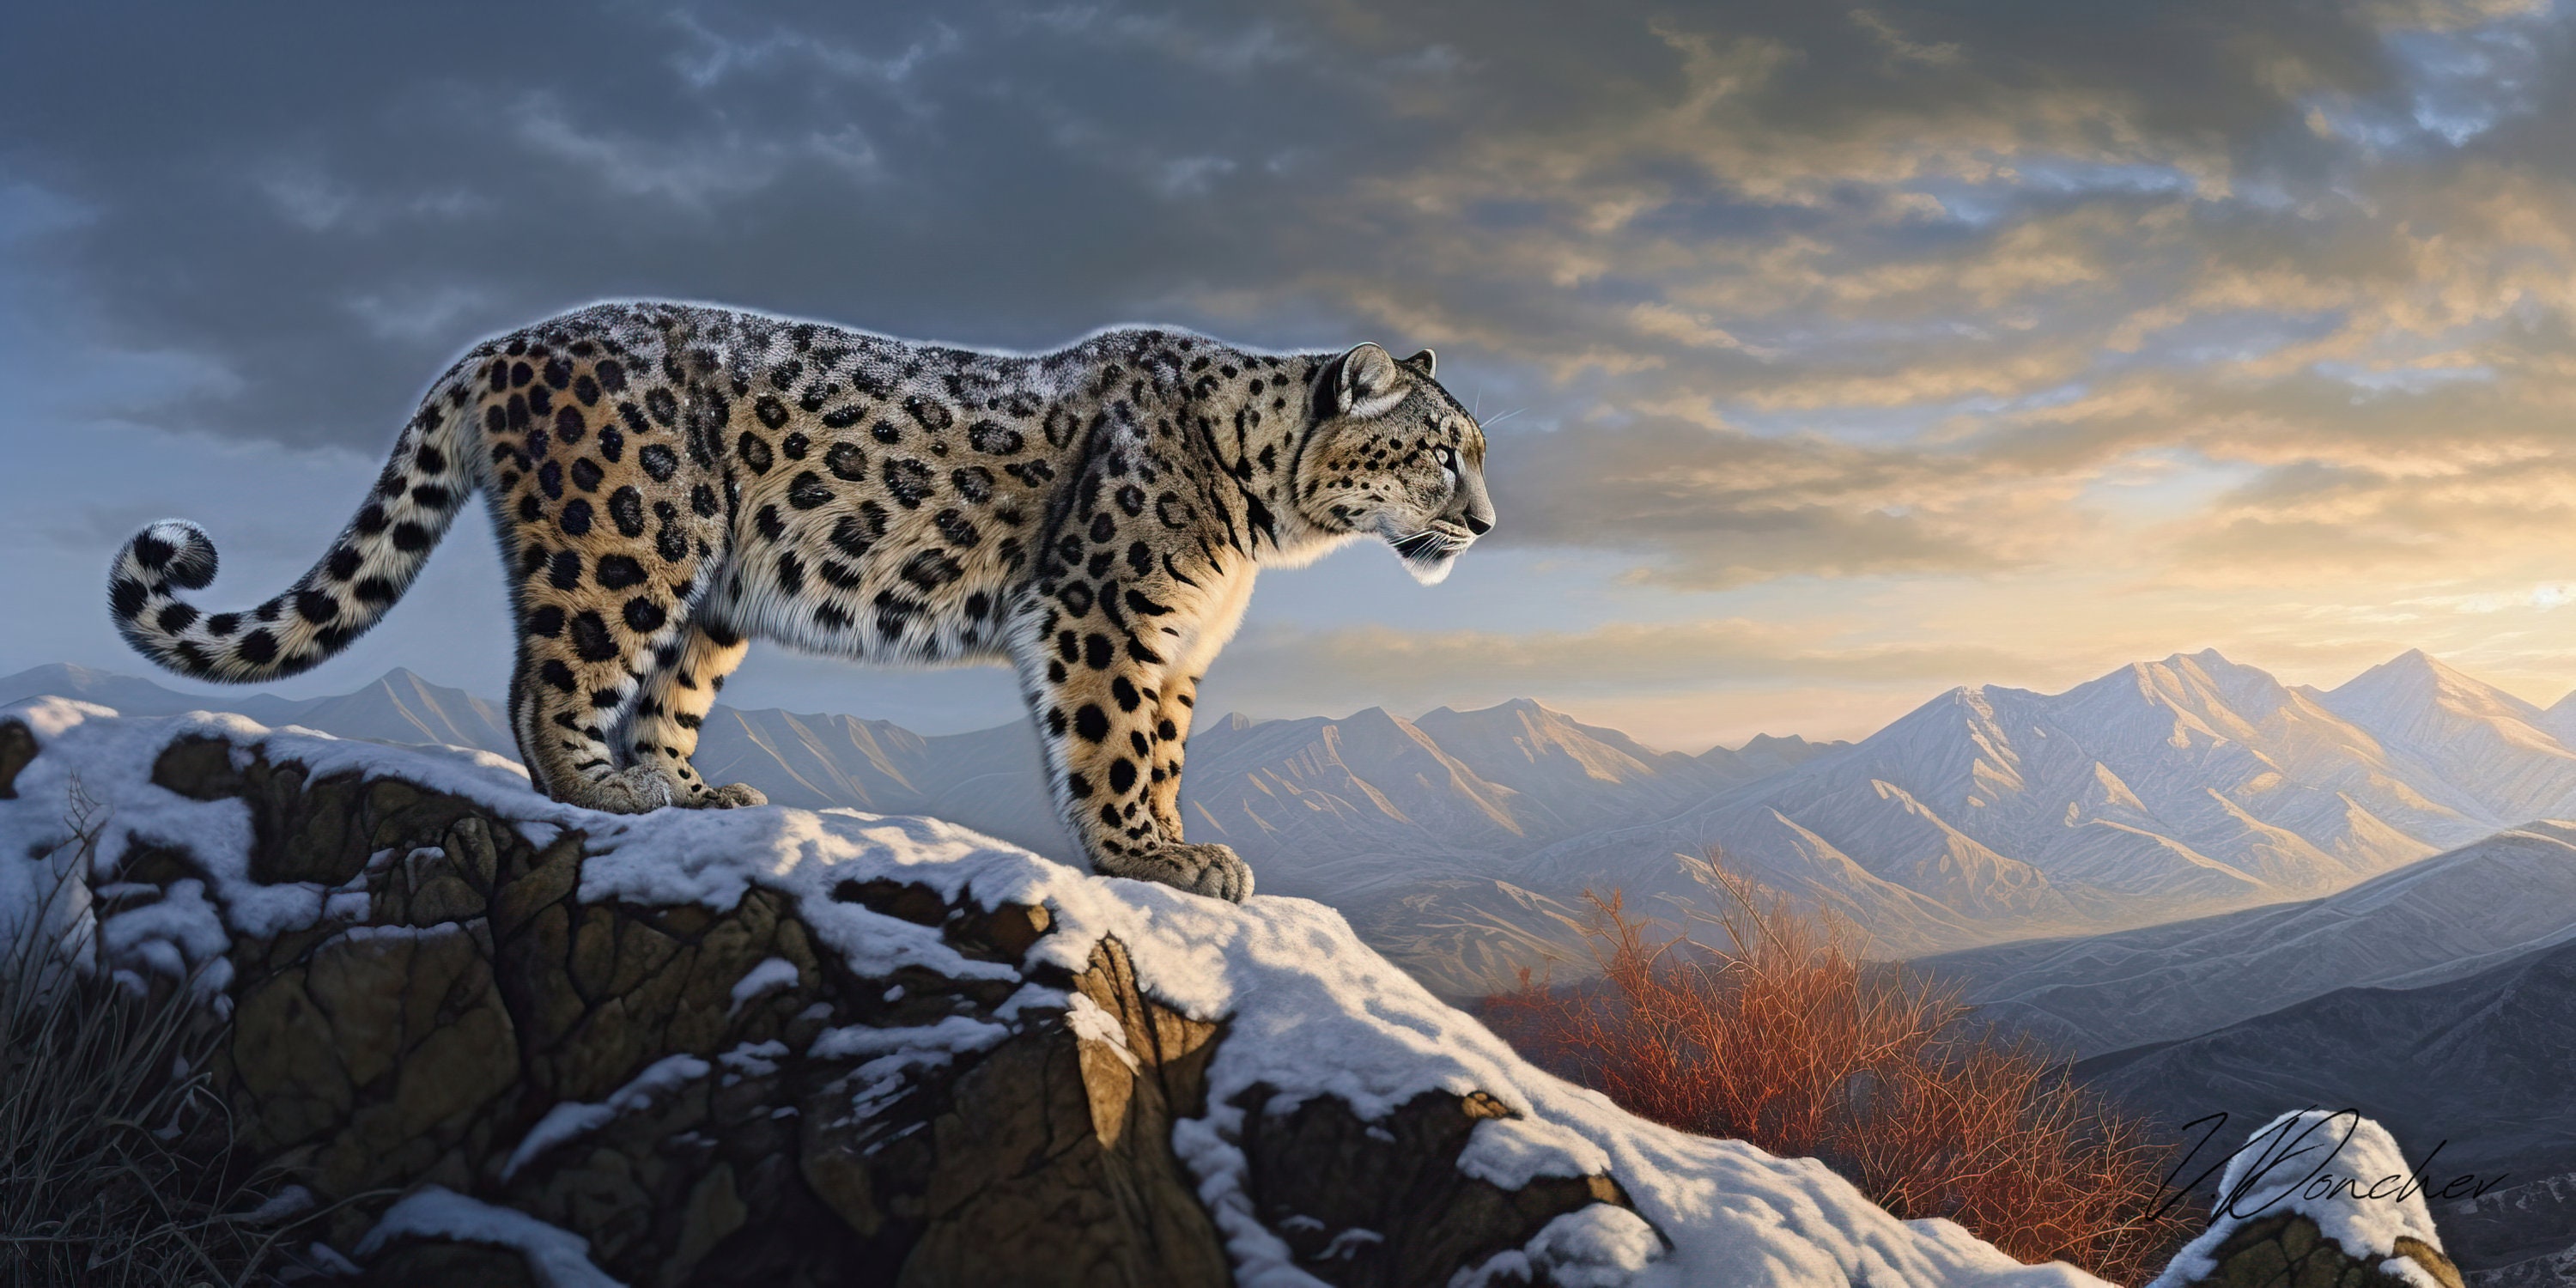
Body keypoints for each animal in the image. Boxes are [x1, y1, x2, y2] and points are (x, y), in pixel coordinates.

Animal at [106, 302, 1495, 903]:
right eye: (1441, 451)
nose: (1485, 525)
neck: (1271, 523)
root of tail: (504, 342)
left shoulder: (1177, 644)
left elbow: (1161, 747)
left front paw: (1172, 842)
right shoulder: (1105, 615)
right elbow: (1112, 744)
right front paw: (1149, 857)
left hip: (715, 596)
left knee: (660, 696)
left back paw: (688, 788)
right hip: (629, 537)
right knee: (554, 674)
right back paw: (599, 787)